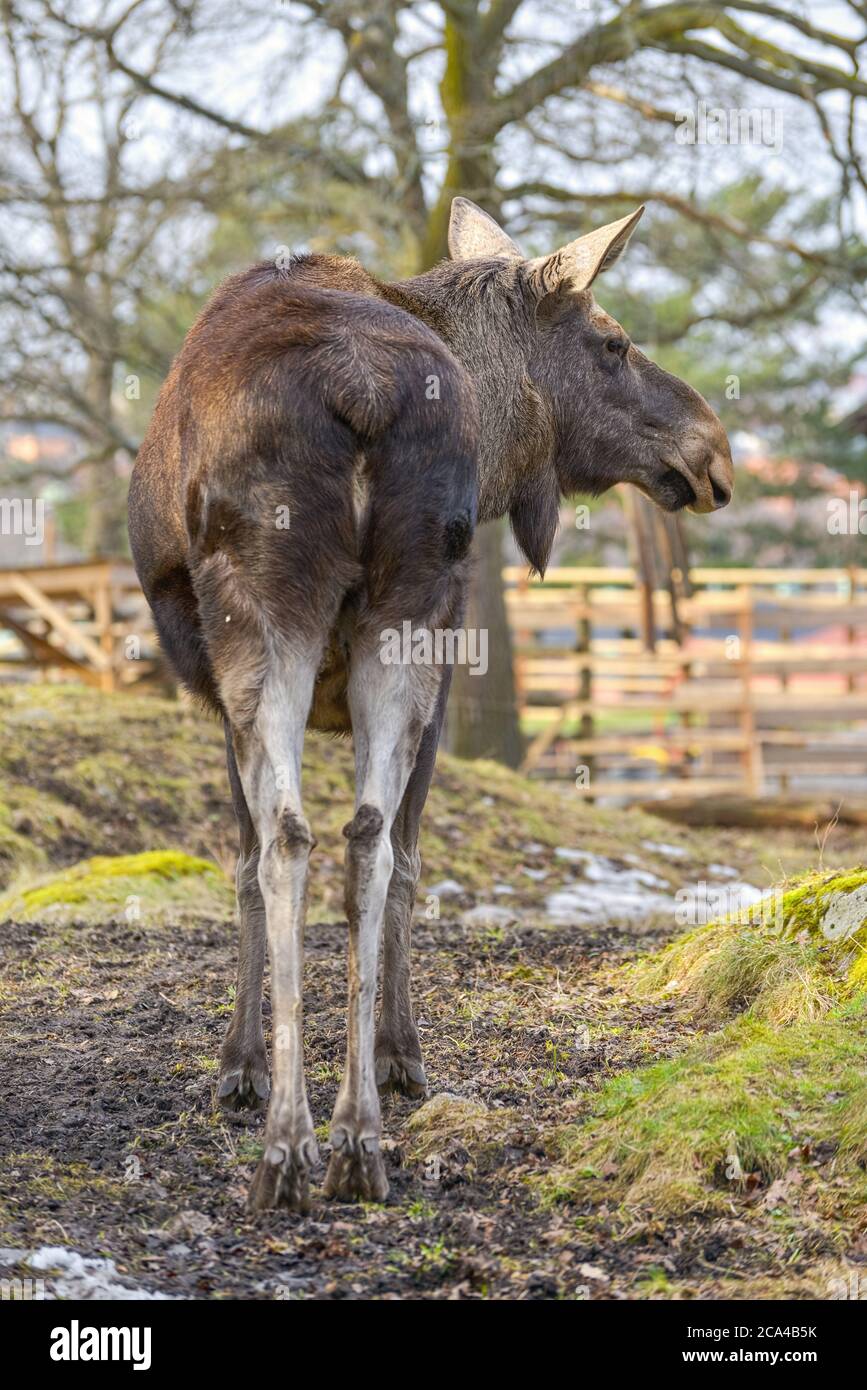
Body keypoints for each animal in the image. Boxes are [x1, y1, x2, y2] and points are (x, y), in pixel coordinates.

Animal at [128, 197, 733, 1212]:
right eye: (611, 342)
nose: (713, 448)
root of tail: (362, 389)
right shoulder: (441, 669)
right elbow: (392, 854)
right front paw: (383, 1055)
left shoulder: (227, 680)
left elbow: (252, 862)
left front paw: (253, 1065)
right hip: (403, 616)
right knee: (364, 838)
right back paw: (354, 1138)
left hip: (271, 611)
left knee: (293, 837)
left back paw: (295, 1141)